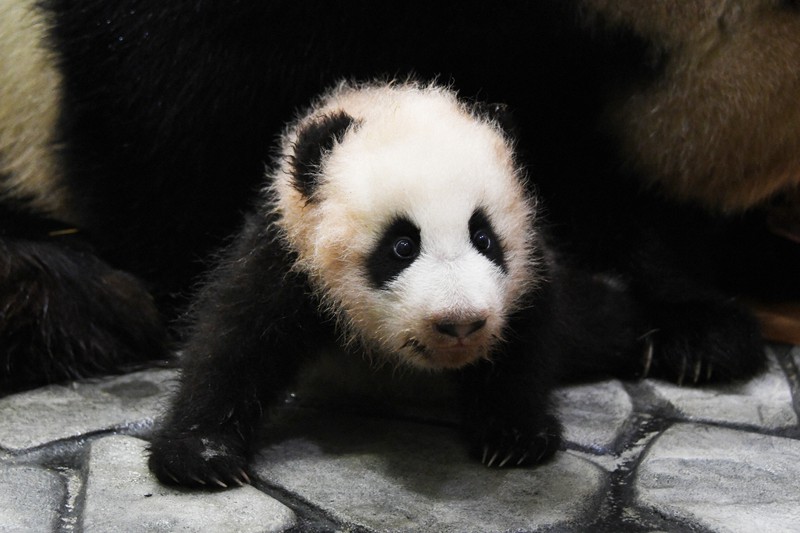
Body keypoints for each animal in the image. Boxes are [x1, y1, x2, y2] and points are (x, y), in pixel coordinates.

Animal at [146, 81, 766, 488]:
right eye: (401, 246)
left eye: (484, 236)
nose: (460, 322)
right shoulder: (286, 254)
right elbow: (233, 342)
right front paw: (200, 455)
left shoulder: (531, 271)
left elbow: (527, 342)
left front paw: (514, 437)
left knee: (602, 322)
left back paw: (696, 343)